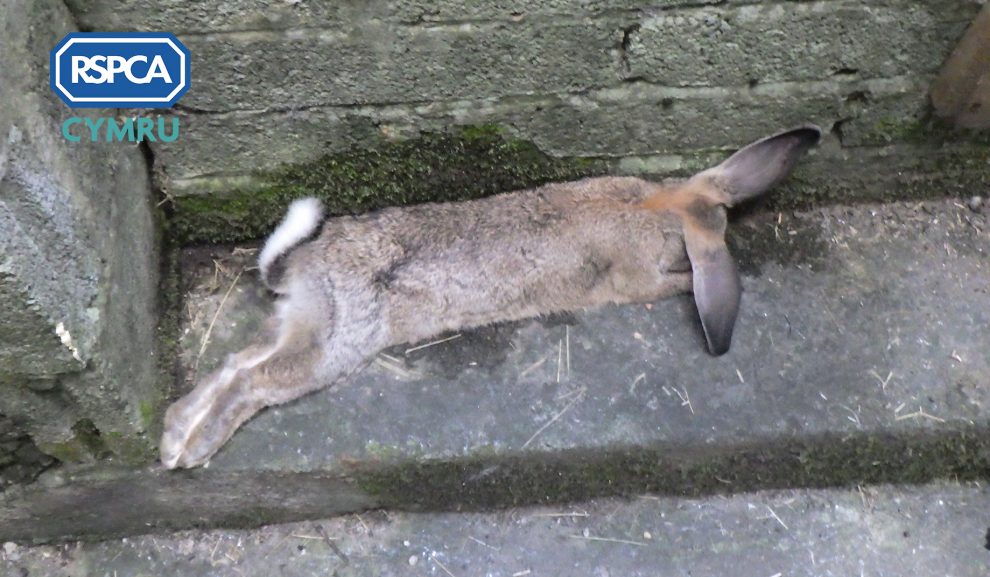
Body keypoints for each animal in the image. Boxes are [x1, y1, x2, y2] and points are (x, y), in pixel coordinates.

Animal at [160, 125, 821, 469]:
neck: (662, 207)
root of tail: (300, 265)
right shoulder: (634, 276)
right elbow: (656, 284)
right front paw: (689, 283)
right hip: (335, 345)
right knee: (256, 381)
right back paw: (189, 451)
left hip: (301, 324)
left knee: (236, 363)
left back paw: (173, 432)